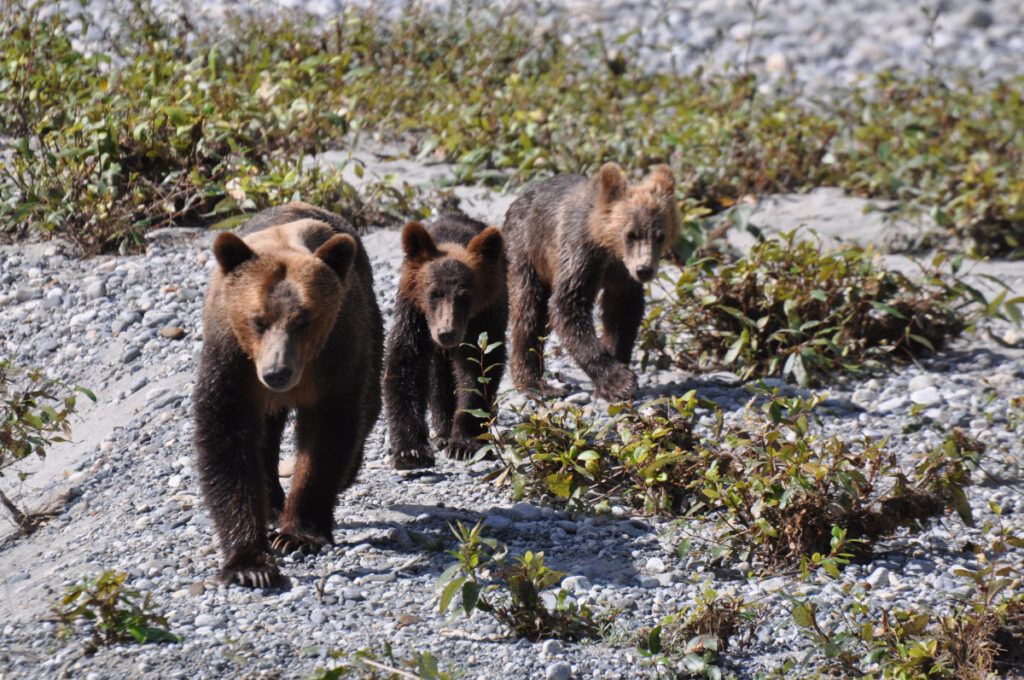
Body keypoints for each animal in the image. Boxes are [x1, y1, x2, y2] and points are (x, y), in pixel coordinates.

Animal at [193, 202, 383, 588]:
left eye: (304, 320)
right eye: (258, 320)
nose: (277, 372)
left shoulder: (338, 355)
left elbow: (327, 435)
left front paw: (297, 534)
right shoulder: (232, 361)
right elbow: (226, 437)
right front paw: (249, 563)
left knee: (368, 406)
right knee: (264, 434)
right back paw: (272, 502)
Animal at [383, 211, 507, 470]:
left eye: (465, 296)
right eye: (434, 293)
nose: (446, 333)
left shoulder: (484, 316)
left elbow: (478, 369)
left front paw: (464, 444)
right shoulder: (415, 314)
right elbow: (405, 365)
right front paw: (410, 451)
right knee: (439, 374)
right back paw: (442, 430)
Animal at [503, 163, 679, 402]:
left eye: (660, 236)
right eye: (630, 234)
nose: (644, 270)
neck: (607, 246)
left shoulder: (621, 276)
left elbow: (623, 314)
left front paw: (614, 371)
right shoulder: (581, 256)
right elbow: (568, 306)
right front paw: (619, 382)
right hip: (526, 250)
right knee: (530, 311)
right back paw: (535, 384)